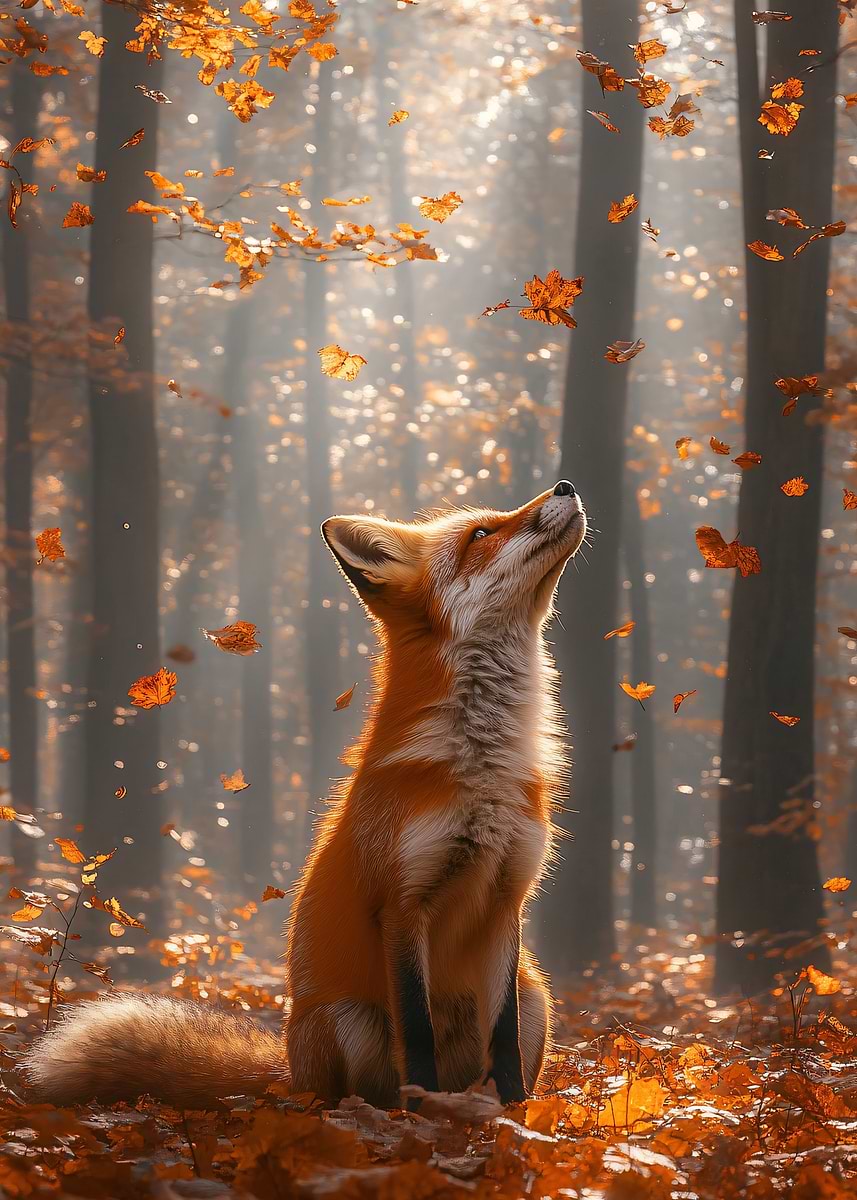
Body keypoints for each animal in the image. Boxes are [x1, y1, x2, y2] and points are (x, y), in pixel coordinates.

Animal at [22, 480, 587, 1111]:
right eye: (481, 534)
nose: (565, 485)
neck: (481, 764)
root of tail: (288, 1075)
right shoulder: (402, 903)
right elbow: (416, 1030)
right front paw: (423, 1112)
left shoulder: (505, 900)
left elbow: (503, 1039)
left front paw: (516, 1116)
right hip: (349, 1019)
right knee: (356, 1096)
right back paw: (386, 1110)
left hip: (537, 994)